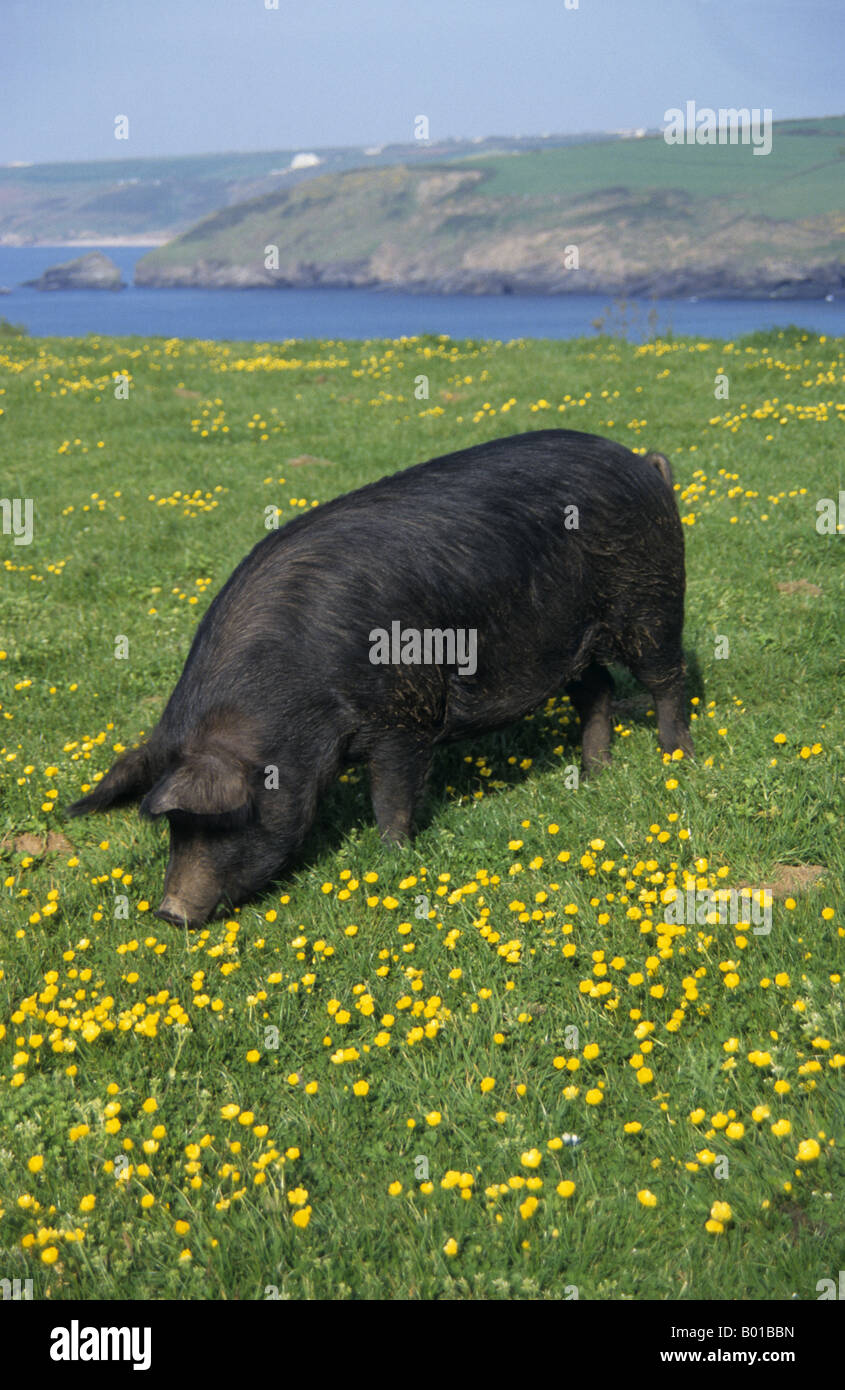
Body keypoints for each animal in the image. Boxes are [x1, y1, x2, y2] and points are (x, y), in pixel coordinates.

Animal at [66, 429, 694, 926]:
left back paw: (675, 759)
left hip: (651, 602)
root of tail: (645, 463)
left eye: (221, 821)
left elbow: (390, 795)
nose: (169, 913)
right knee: (599, 690)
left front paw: (393, 860)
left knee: (668, 678)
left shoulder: (404, 715)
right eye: (175, 828)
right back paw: (594, 773)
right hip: (574, 643)